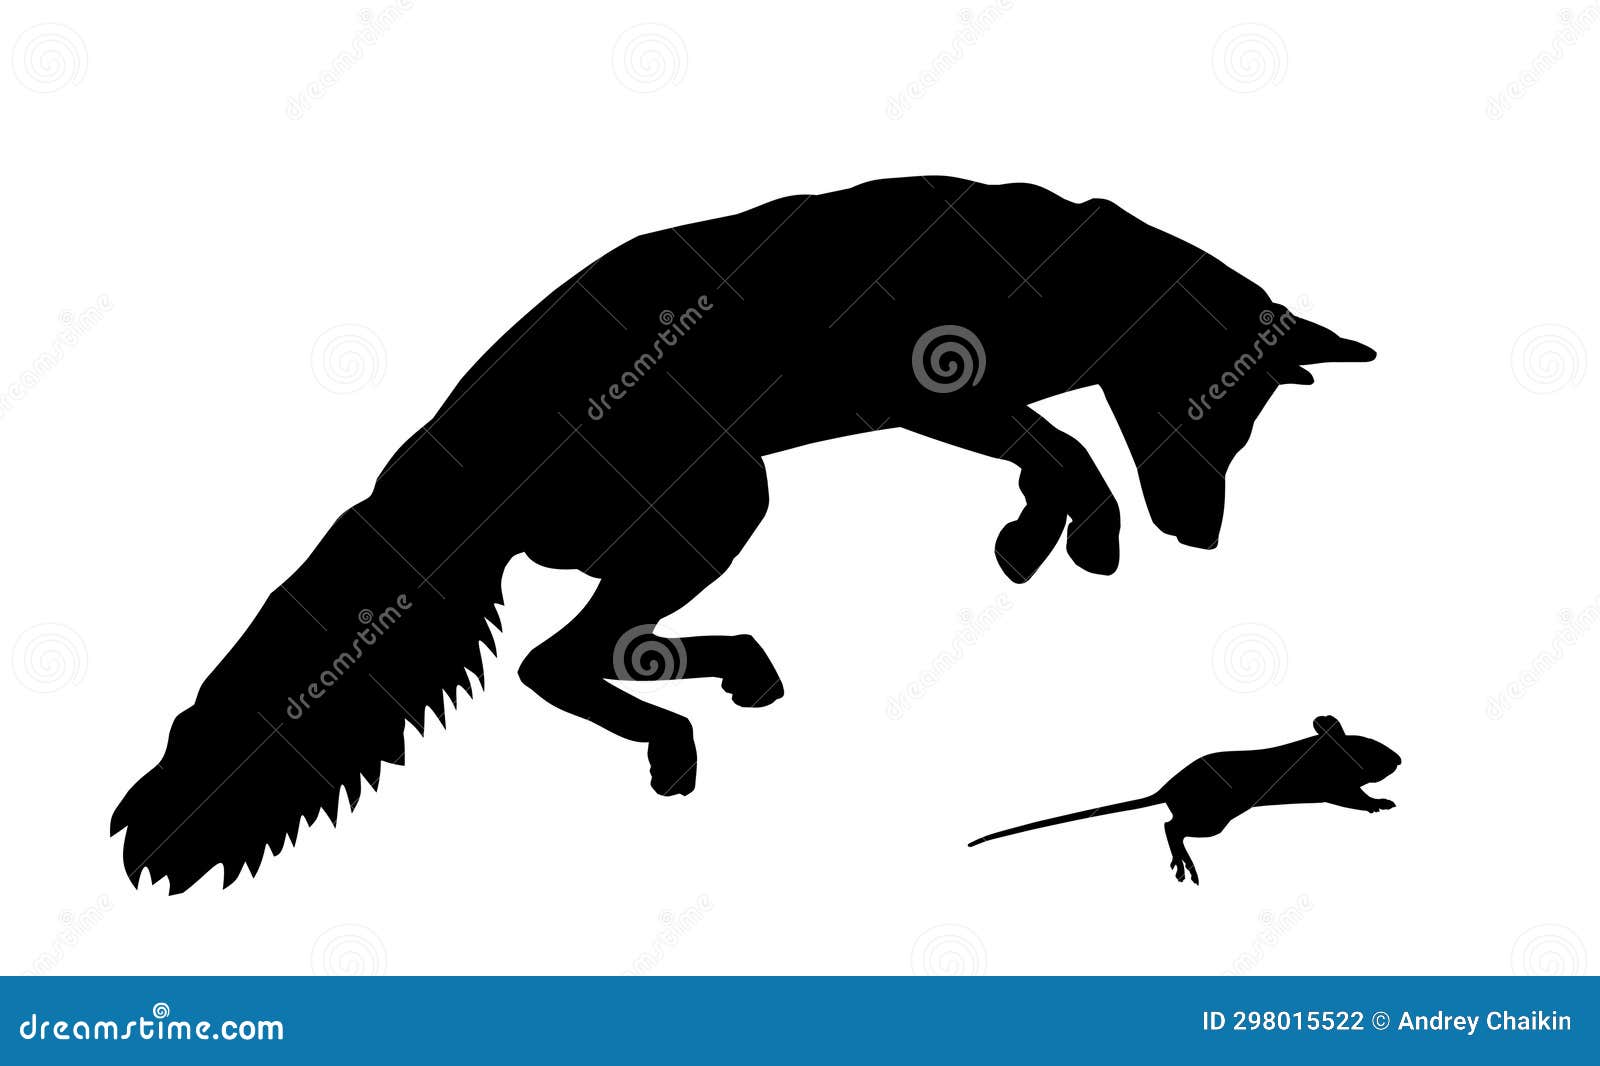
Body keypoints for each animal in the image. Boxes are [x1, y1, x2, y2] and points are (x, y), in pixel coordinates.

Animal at [111, 175, 1375, 892]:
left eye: (1245, 429)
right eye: (1208, 414)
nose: (1202, 539)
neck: (1051, 268)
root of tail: (457, 436)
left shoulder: (948, 408)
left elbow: (1048, 451)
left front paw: (1044, 537)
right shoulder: (934, 392)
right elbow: (1059, 449)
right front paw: (1074, 533)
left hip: (694, 512)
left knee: (568, 657)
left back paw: (725, 684)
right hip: (722, 499)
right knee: (555, 658)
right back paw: (684, 722)